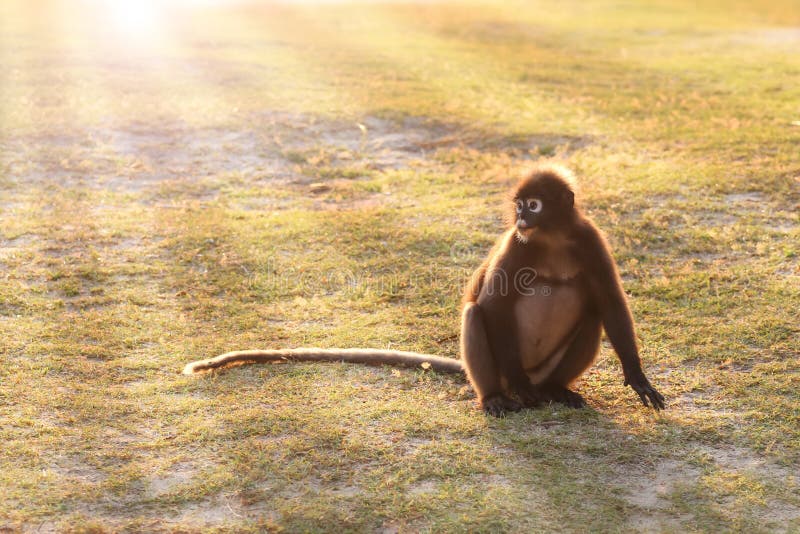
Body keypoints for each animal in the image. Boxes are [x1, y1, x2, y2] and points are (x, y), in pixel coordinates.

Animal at [182, 164, 665, 416]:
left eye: (534, 205)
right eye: (519, 207)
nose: (522, 218)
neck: (550, 241)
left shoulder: (588, 239)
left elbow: (611, 302)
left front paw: (637, 377)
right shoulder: (516, 245)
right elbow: (492, 307)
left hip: (548, 366)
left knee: (593, 313)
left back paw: (553, 391)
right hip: (503, 365)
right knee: (476, 316)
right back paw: (499, 395)